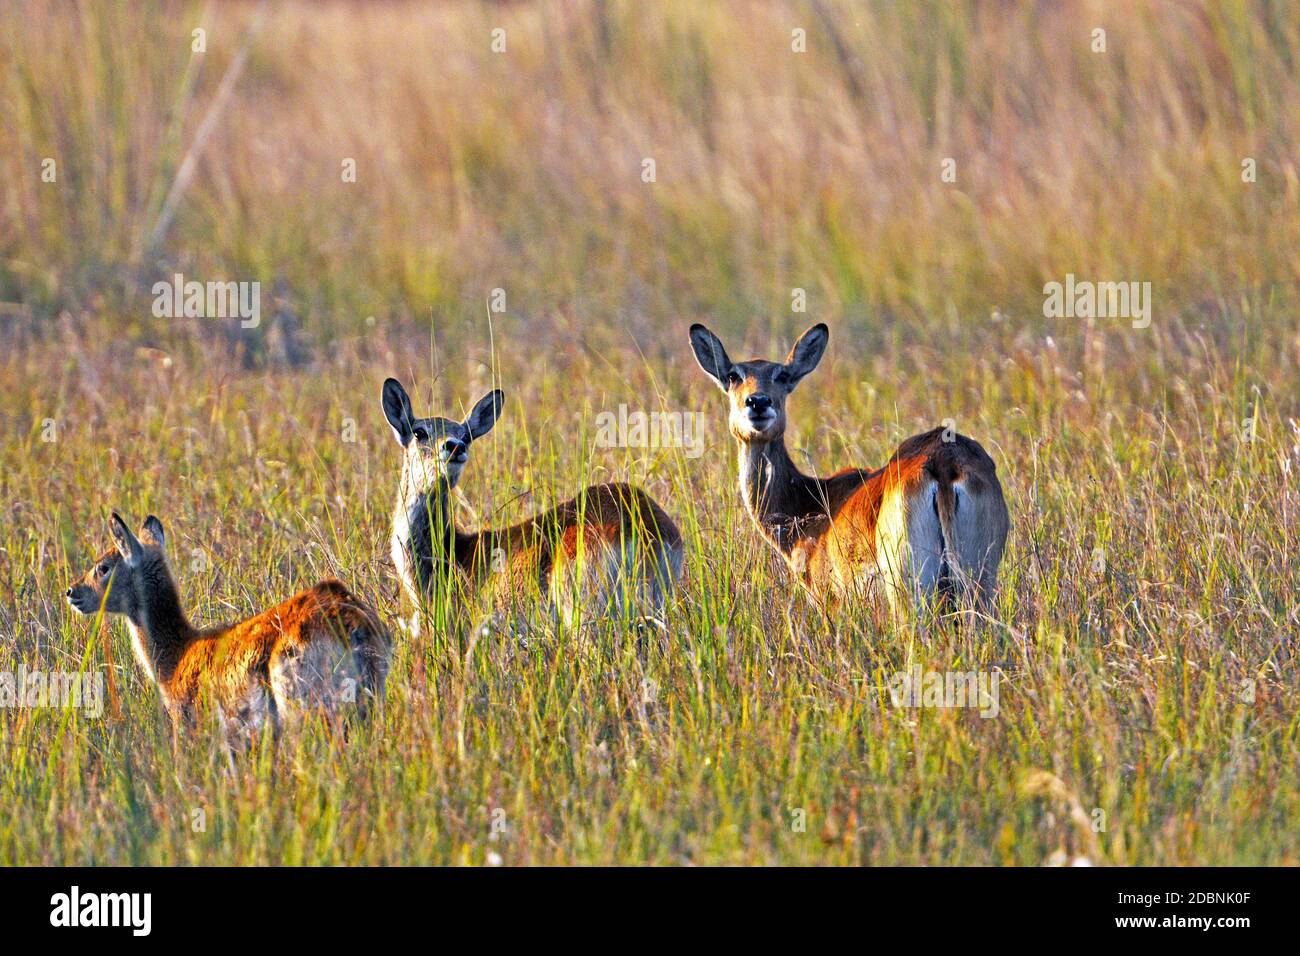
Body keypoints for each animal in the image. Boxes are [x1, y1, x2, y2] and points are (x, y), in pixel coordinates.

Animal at [381, 377, 684, 636]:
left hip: (583, 610)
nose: (454, 446)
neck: (449, 554)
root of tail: (650, 531)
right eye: (419, 431)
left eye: (465, 435)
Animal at [689, 322, 1009, 617]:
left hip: (909, 591)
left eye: (782, 375)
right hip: (978, 584)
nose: (757, 402)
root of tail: (943, 463)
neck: (810, 505)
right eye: (733, 375)